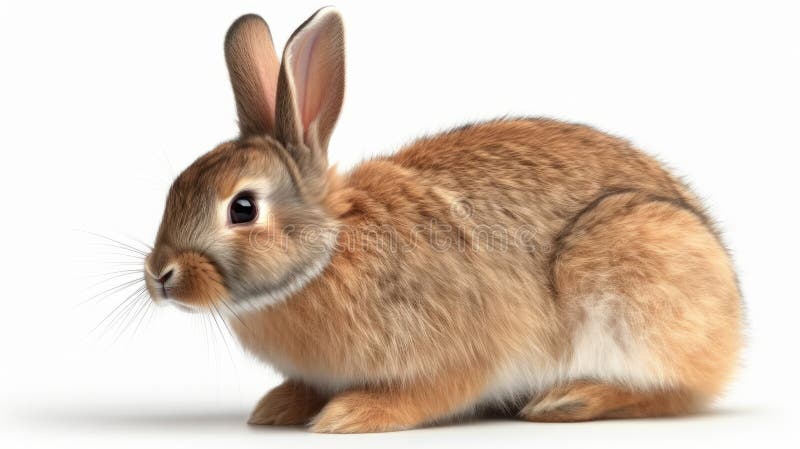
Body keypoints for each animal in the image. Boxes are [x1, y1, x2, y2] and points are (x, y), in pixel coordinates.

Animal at [143, 7, 742, 433]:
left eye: (242, 207)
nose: (159, 276)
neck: (330, 251)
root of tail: (734, 326)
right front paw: (280, 406)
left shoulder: (462, 348)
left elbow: (432, 390)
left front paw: (350, 416)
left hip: (633, 271)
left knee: (674, 391)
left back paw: (569, 400)